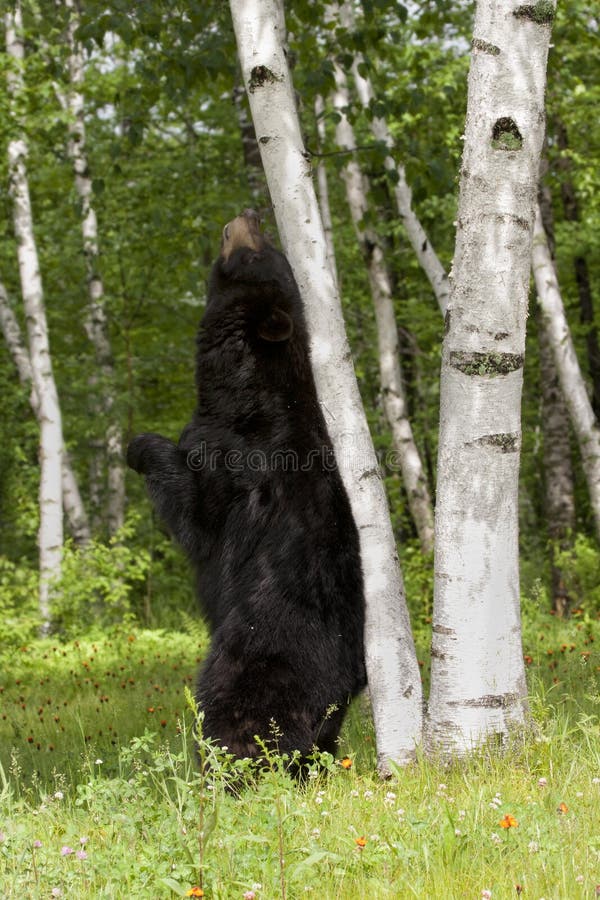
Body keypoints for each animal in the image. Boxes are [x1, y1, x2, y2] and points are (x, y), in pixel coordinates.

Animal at [127, 209, 365, 765]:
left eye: (260, 251)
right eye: (272, 243)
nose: (250, 214)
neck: (240, 394)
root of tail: (343, 690)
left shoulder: (235, 465)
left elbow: (196, 517)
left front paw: (141, 445)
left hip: (252, 662)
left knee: (237, 726)